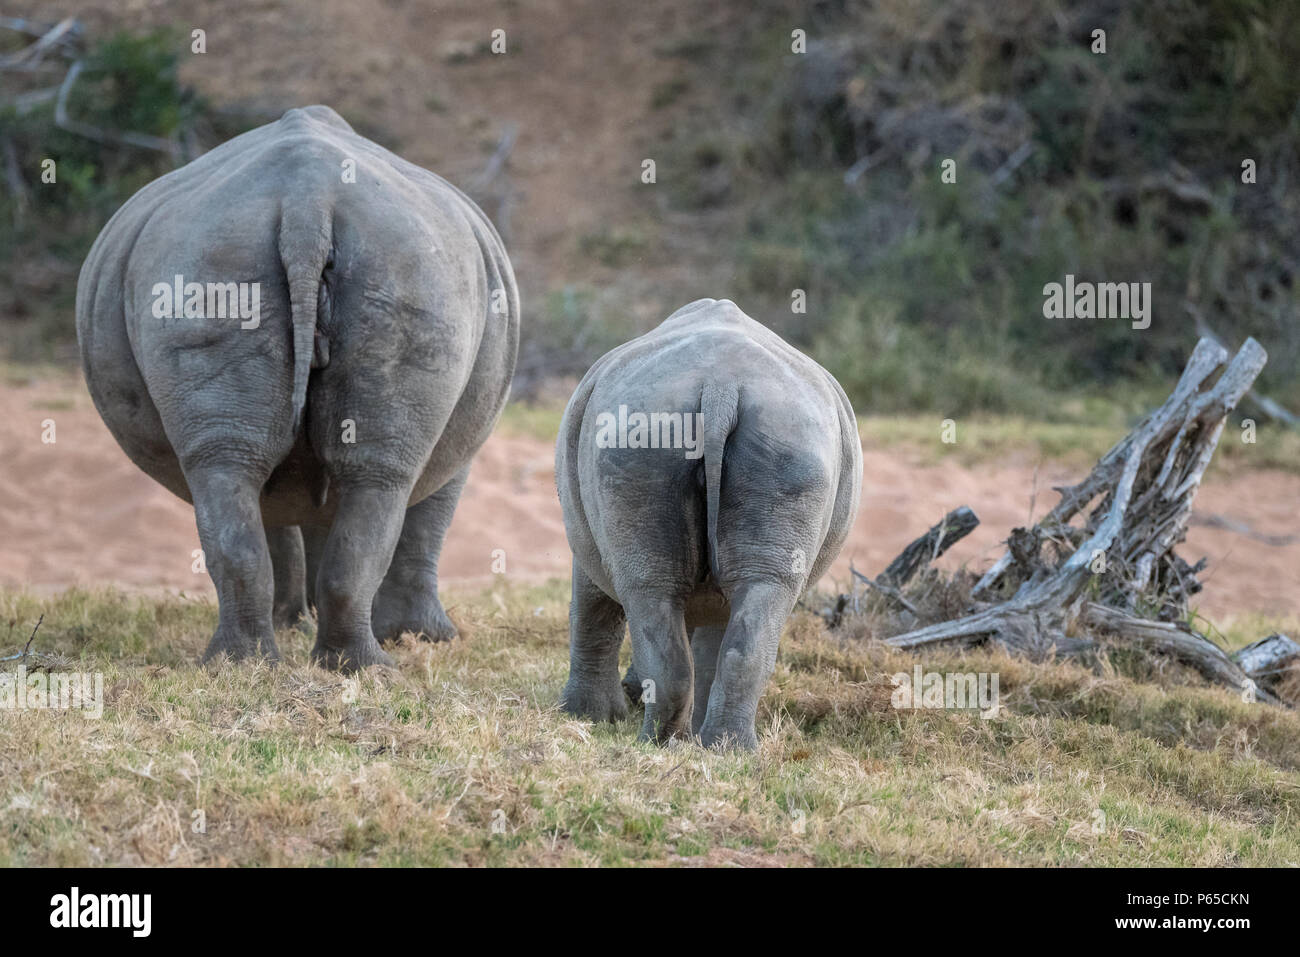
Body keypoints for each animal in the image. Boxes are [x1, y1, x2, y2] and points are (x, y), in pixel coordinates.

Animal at [77, 105, 519, 671]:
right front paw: (427, 638)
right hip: (407, 264)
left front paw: (300, 623)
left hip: (219, 261)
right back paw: (363, 666)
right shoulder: (460, 444)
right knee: (375, 477)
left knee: (235, 464)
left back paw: (251, 665)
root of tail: (307, 200)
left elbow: (296, 521)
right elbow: (425, 524)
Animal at [555, 299, 862, 749]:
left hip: (652, 434)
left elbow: (593, 613)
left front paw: (586, 717)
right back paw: (727, 749)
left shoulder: (586, 544)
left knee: (647, 590)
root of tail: (721, 386)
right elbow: (705, 643)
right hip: (788, 441)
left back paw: (662, 743)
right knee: (760, 589)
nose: (630, 691)